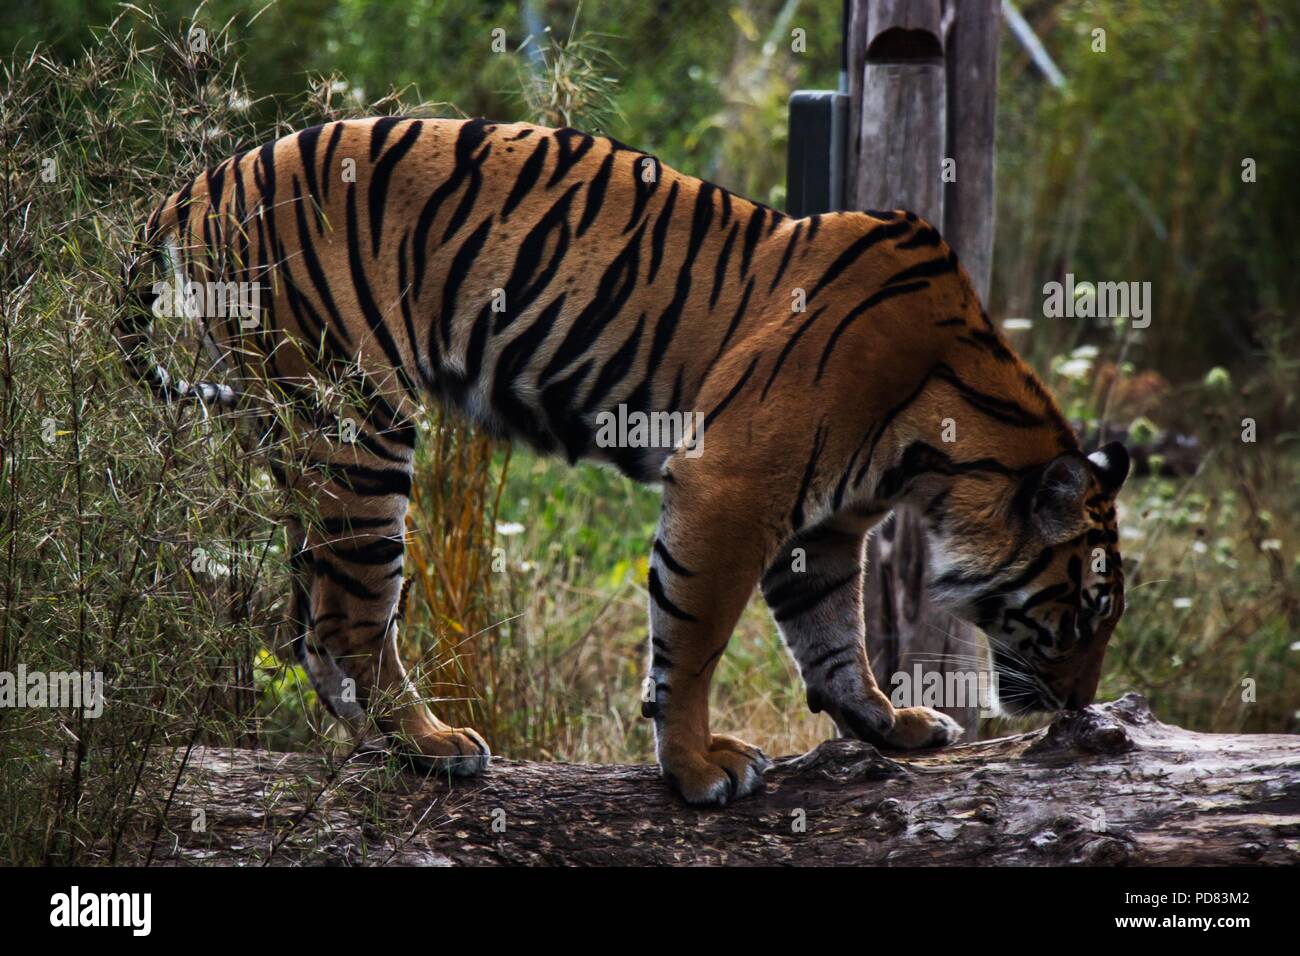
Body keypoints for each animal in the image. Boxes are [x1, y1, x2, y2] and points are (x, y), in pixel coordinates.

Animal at [121, 116, 1131, 806]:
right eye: (1085, 613)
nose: (1080, 710)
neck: (940, 453)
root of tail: (209, 175)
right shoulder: (731, 482)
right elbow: (692, 638)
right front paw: (696, 768)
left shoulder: (827, 528)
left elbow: (836, 636)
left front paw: (891, 725)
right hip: (357, 420)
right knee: (349, 619)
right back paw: (432, 744)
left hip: (297, 431)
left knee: (311, 616)